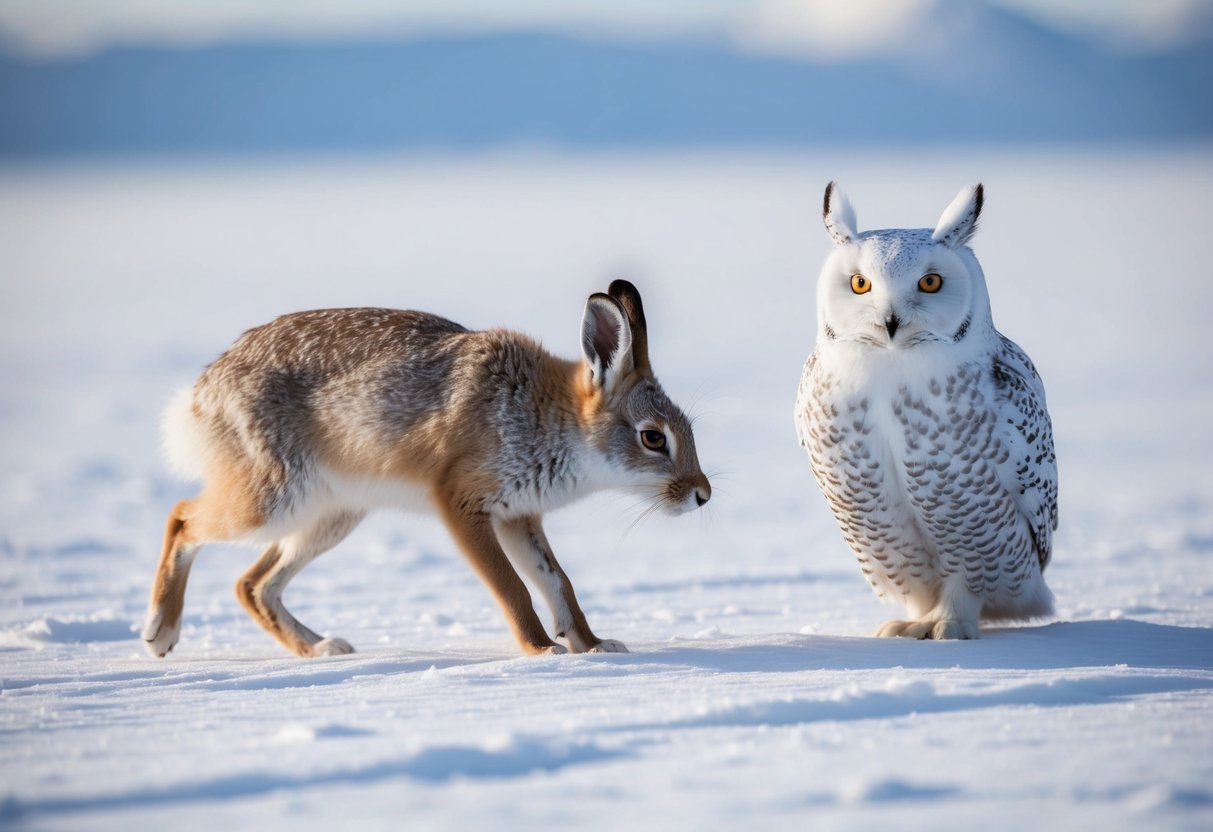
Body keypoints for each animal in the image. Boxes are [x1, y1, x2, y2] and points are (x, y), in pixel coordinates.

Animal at [142, 280, 711, 659]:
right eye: (654, 437)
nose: (702, 494)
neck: (552, 416)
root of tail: (203, 390)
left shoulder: (519, 517)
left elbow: (559, 583)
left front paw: (594, 646)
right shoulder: (463, 504)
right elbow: (513, 587)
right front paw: (541, 650)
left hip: (331, 515)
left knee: (252, 585)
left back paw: (320, 648)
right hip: (275, 496)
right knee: (183, 518)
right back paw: (160, 631)